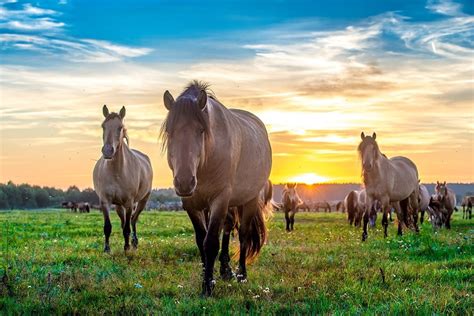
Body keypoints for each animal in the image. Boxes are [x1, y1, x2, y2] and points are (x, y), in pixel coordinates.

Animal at [92, 105, 152, 253]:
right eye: (103, 126)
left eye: (120, 127)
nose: (108, 151)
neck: (116, 172)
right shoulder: (105, 202)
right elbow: (108, 227)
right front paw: (107, 249)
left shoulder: (129, 203)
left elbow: (127, 228)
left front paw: (126, 248)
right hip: (119, 205)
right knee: (124, 220)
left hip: (142, 200)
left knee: (133, 220)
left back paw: (134, 243)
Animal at [160, 81, 272, 296]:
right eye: (170, 131)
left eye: (201, 131)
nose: (184, 182)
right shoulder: (192, 203)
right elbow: (201, 240)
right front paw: (207, 276)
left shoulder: (220, 199)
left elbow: (211, 242)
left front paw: (207, 286)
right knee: (227, 228)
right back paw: (225, 270)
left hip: (249, 199)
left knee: (243, 234)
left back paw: (241, 275)